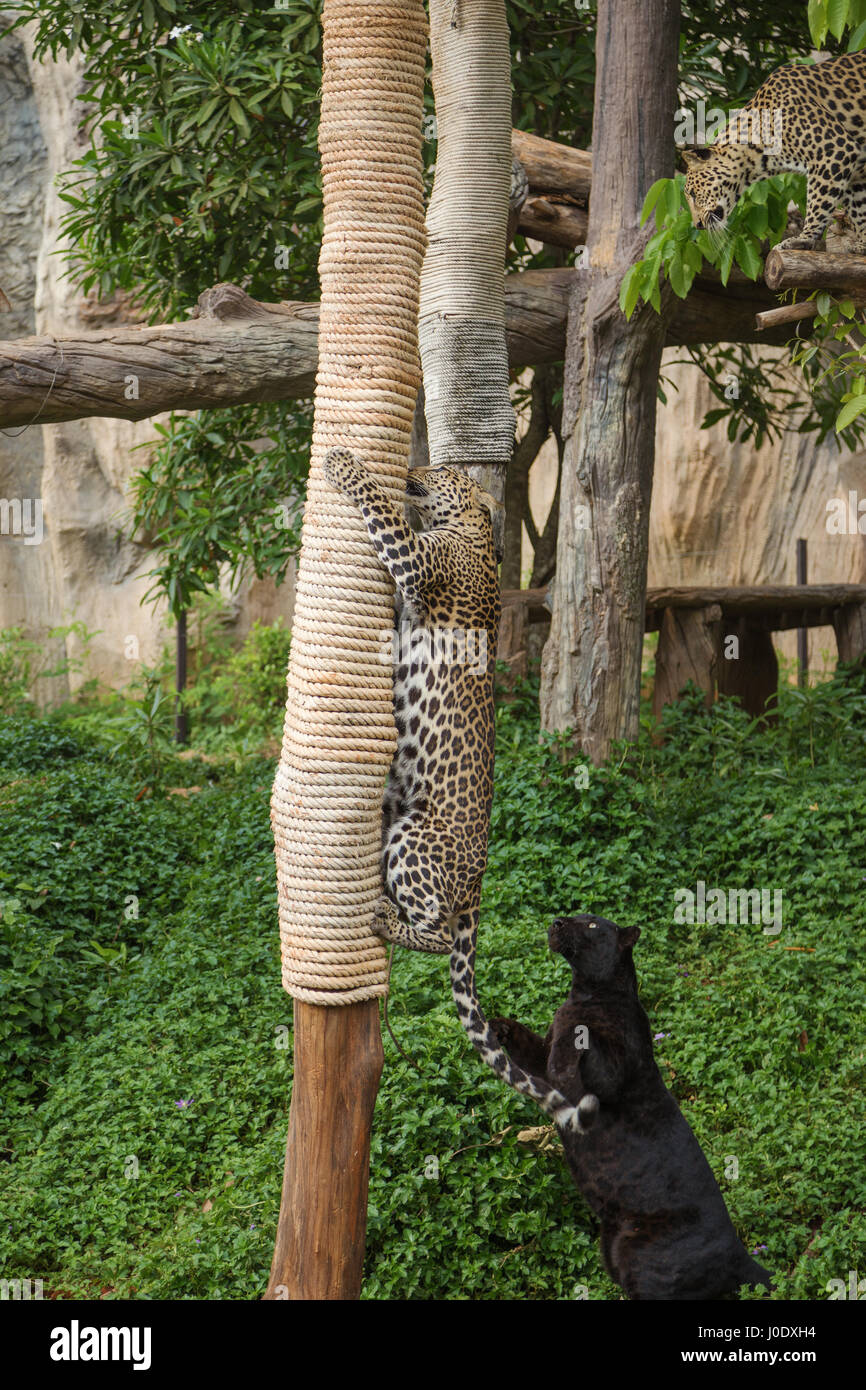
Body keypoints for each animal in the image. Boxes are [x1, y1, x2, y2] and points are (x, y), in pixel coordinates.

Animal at [323, 447, 599, 1136]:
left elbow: (381, 509)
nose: (419, 466)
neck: (474, 535)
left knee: (438, 933)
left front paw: (343, 460)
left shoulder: (417, 564)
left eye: (443, 470)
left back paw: (383, 916)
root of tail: (478, 877)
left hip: (413, 838)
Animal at [491, 914, 774, 1301]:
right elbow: (526, 1042)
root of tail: (739, 1254)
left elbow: (585, 1043)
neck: (586, 992)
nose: (558, 920)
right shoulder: (540, 1062)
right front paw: (497, 1024)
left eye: (591, 925)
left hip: (643, 1263)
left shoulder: (609, 1074)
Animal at [681, 51, 866, 252]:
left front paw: (803, 238)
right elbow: (860, 209)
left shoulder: (834, 150)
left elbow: (818, 203)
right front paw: (863, 243)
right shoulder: (856, 173)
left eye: (693, 194)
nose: (698, 224)